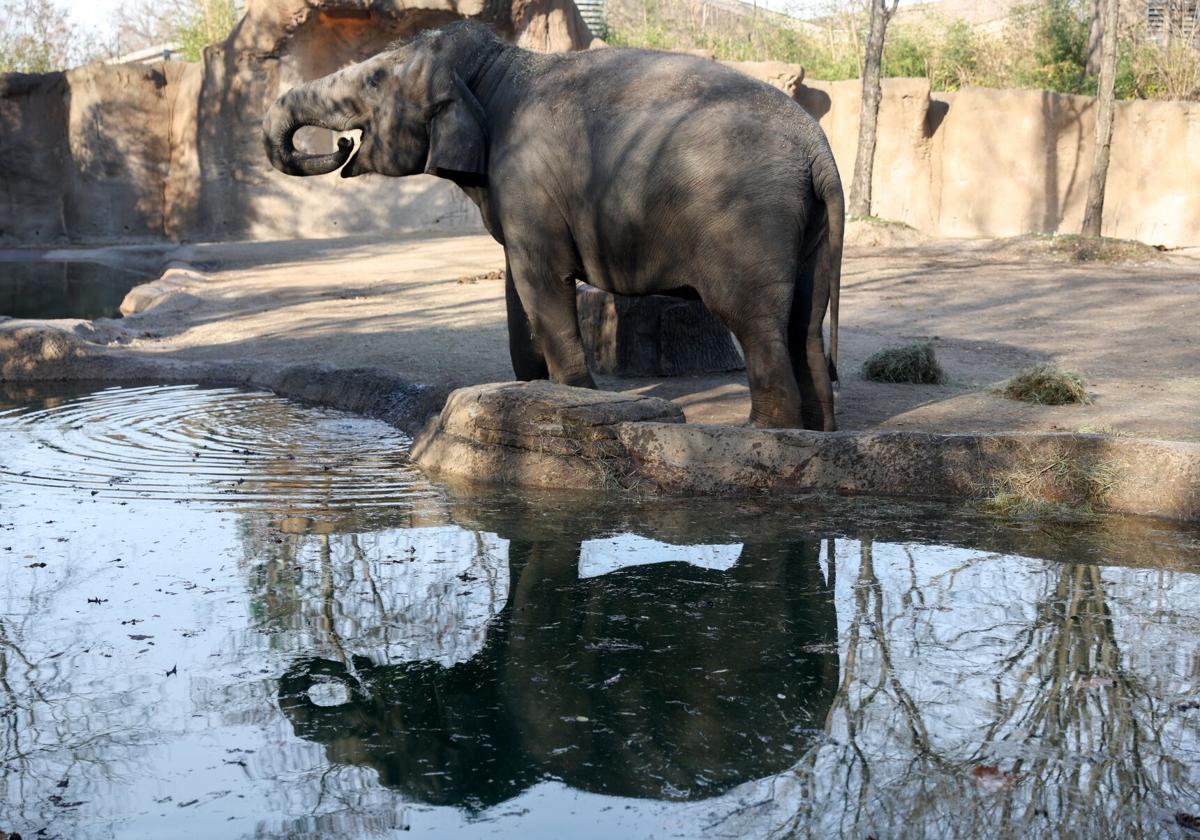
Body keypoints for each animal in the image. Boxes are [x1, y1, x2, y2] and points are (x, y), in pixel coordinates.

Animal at [262, 21, 843, 430]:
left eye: (374, 80)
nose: (341, 144)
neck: (498, 65)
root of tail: (819, 149)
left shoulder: (527, 177)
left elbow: (540, 280)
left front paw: (573, 399)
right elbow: (516, 283)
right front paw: (525, 393)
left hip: (746, 220)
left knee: (754, 320)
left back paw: (764, 433)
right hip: (808, 224)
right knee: (806, 321)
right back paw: (817, 432)